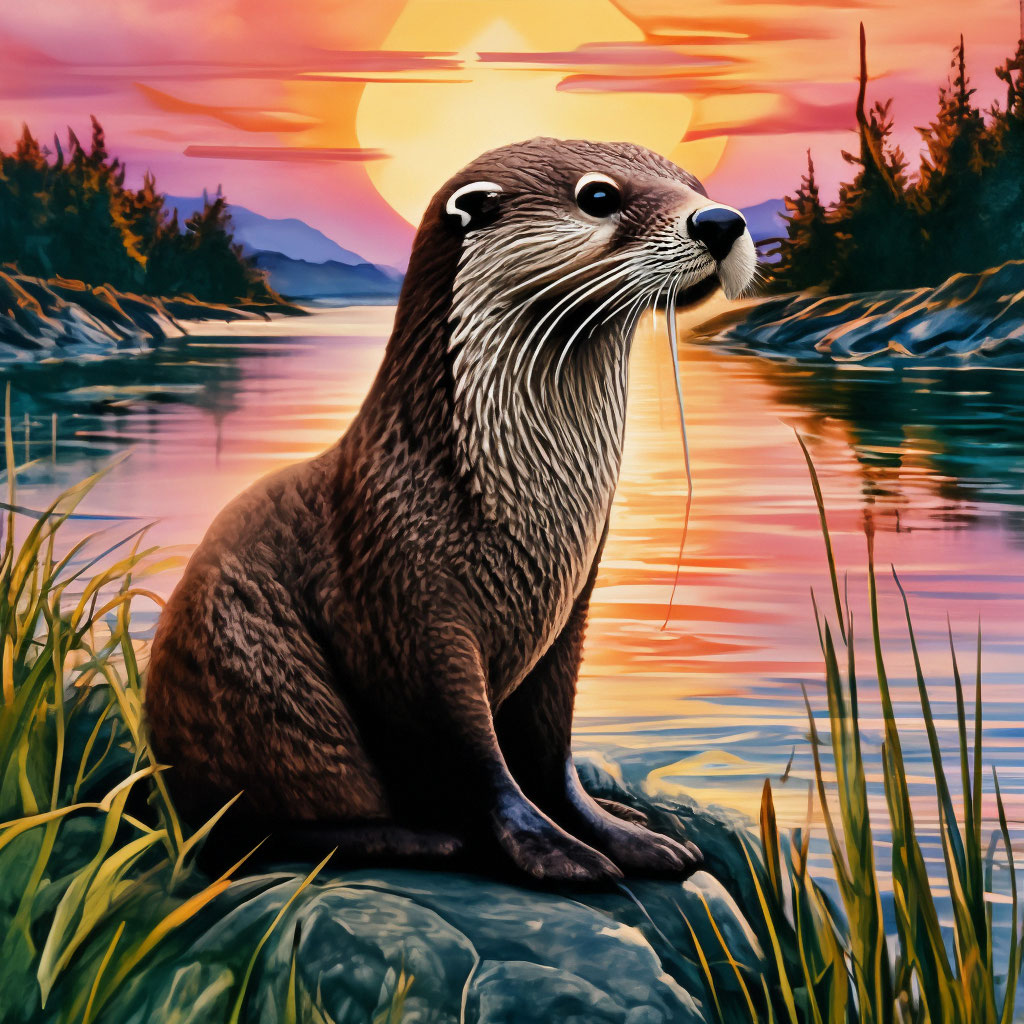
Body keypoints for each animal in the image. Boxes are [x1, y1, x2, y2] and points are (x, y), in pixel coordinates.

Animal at [145, 138, 757, 883]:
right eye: (599, 196)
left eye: (698, 185)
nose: (722, 221)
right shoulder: (402, 596)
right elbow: (469, 753)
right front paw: (556, 853)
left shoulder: (570, 614)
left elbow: (549, 751)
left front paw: (627, 837)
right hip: (263, 693)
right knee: (255, 823)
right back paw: (415, 838)